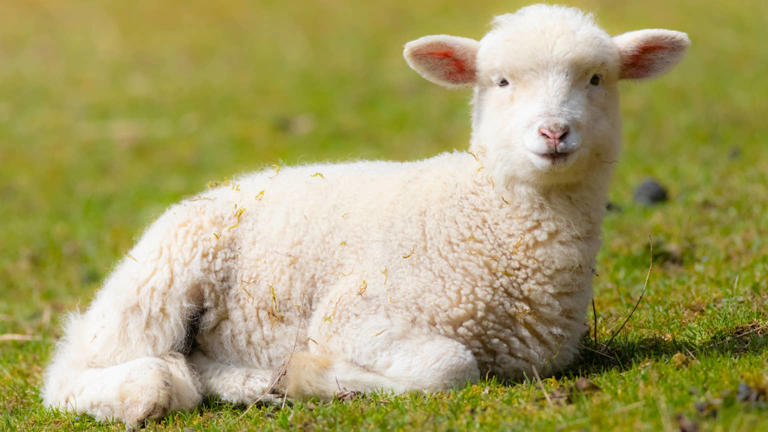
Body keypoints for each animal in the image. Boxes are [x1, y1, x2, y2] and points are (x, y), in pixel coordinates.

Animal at [42, 4, 690, 425]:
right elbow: (449, 367)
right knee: (75, 370)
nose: (554, 133)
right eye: (501, 81)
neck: (485, 218)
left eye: (597, 79)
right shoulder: (358, 314)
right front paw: (315, 376)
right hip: (160, 283)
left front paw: (292, 380)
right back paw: (143, 390)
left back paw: (248, 383)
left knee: (194, 367)